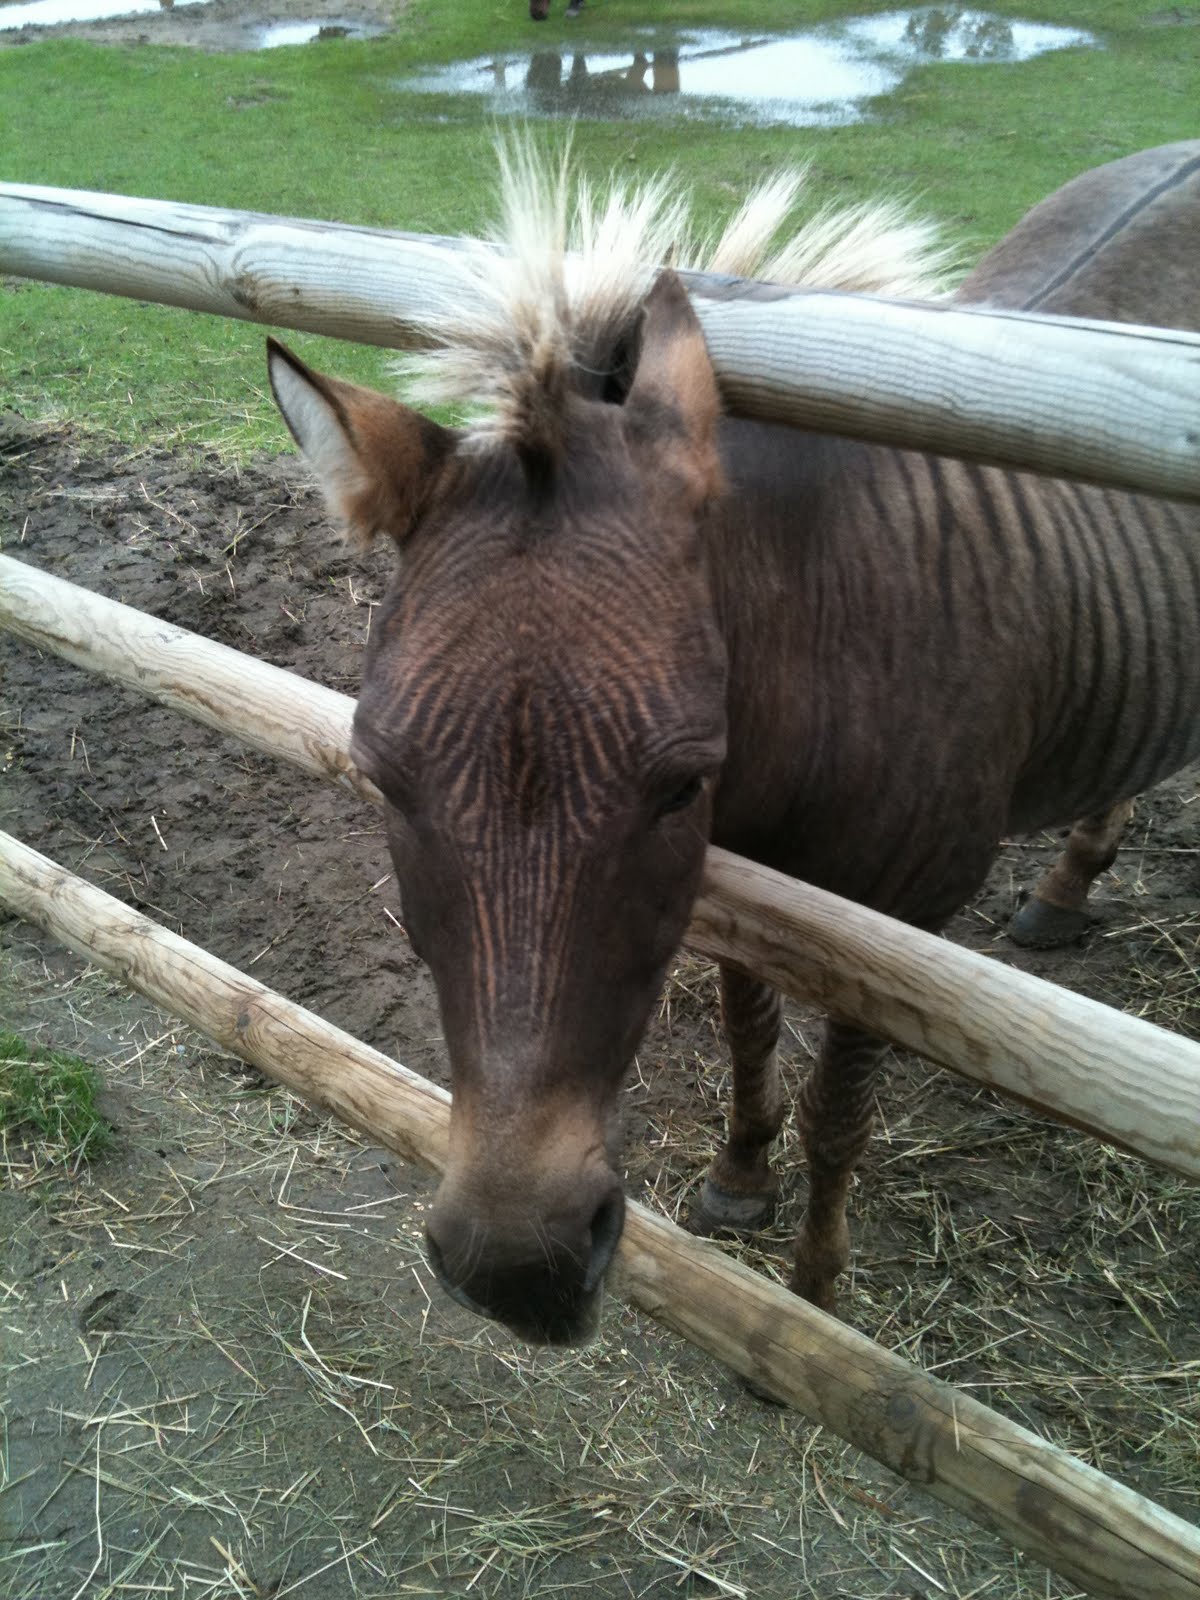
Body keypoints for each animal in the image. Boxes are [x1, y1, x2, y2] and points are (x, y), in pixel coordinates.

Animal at [267, 140, 1200, 1346]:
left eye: (681, 784)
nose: (513, 1269)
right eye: (383, 779)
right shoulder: (736, 889)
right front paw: (741, 1175)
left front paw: (815, 1294)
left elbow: (835, 1114)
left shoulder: (898, 931)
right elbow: (747, 1034)